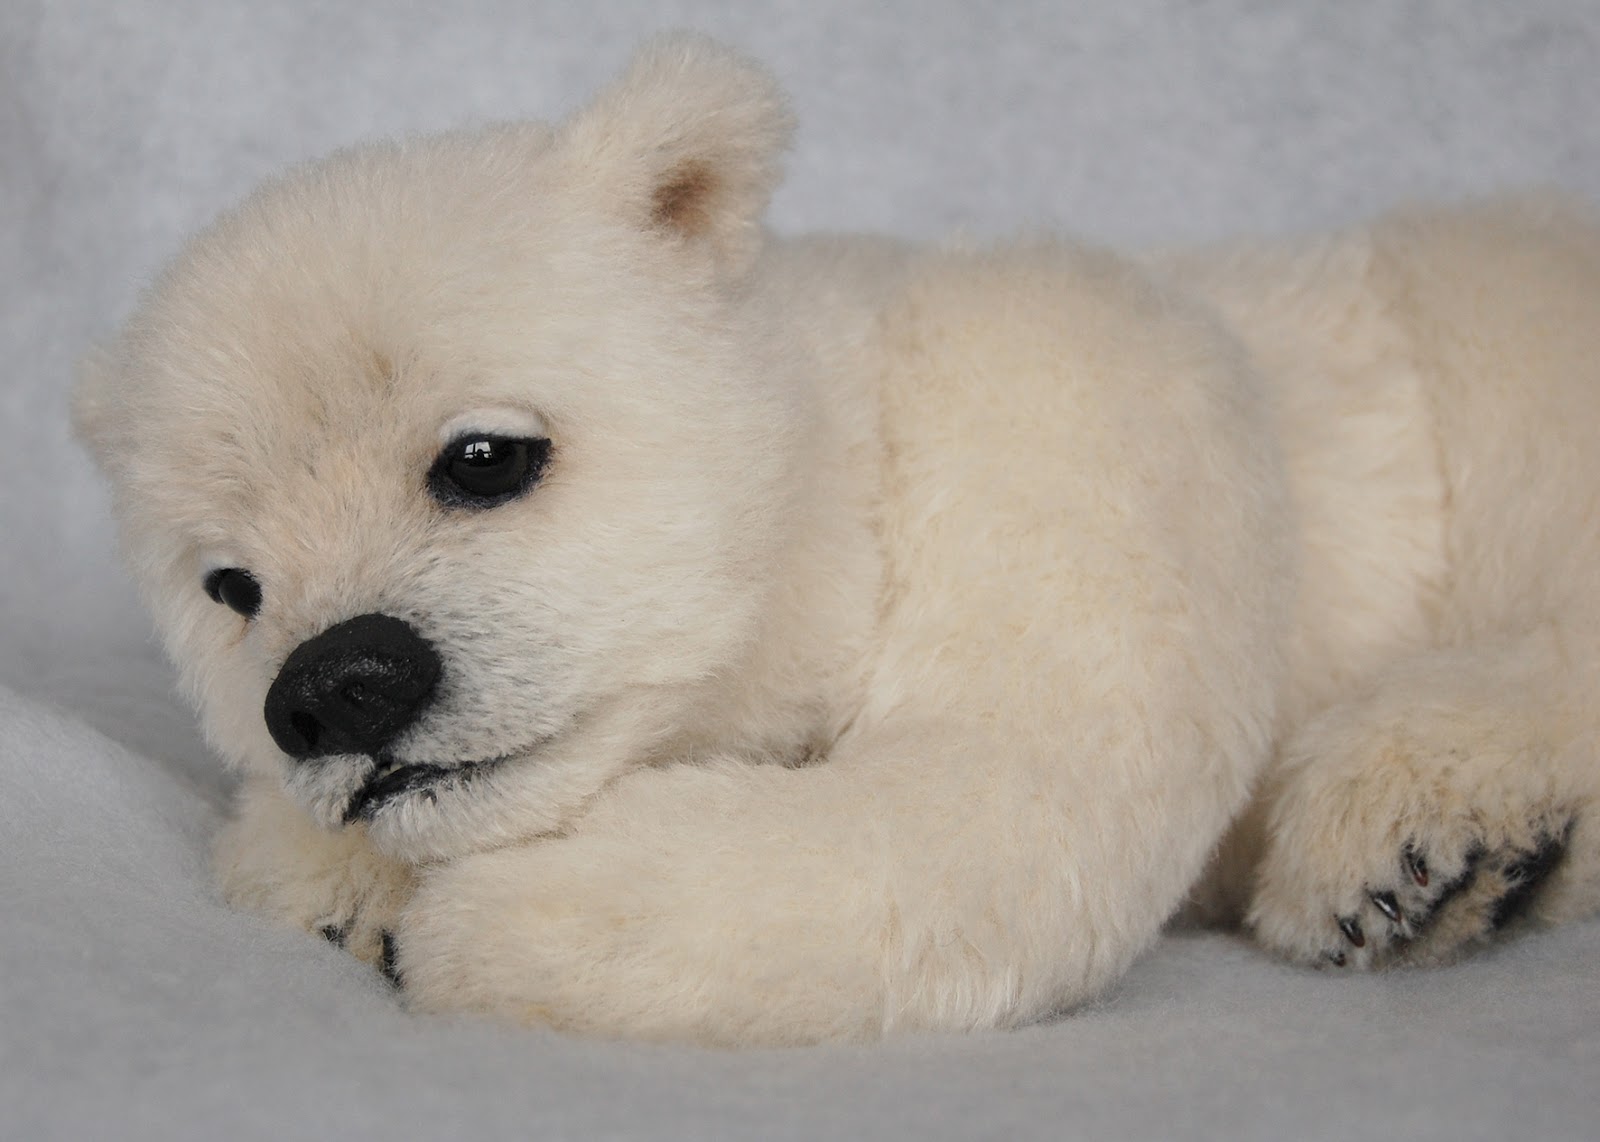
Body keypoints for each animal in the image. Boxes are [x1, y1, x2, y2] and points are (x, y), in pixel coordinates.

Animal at [73, 34, 1600, 1045]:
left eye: (484, 456)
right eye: (228, 582)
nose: (338, 687)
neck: (843, 455)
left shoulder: (1063, 402)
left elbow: (1001, 788)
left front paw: (488, 916)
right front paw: (344, 882)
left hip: (1495, 356)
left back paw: (1415, 830)